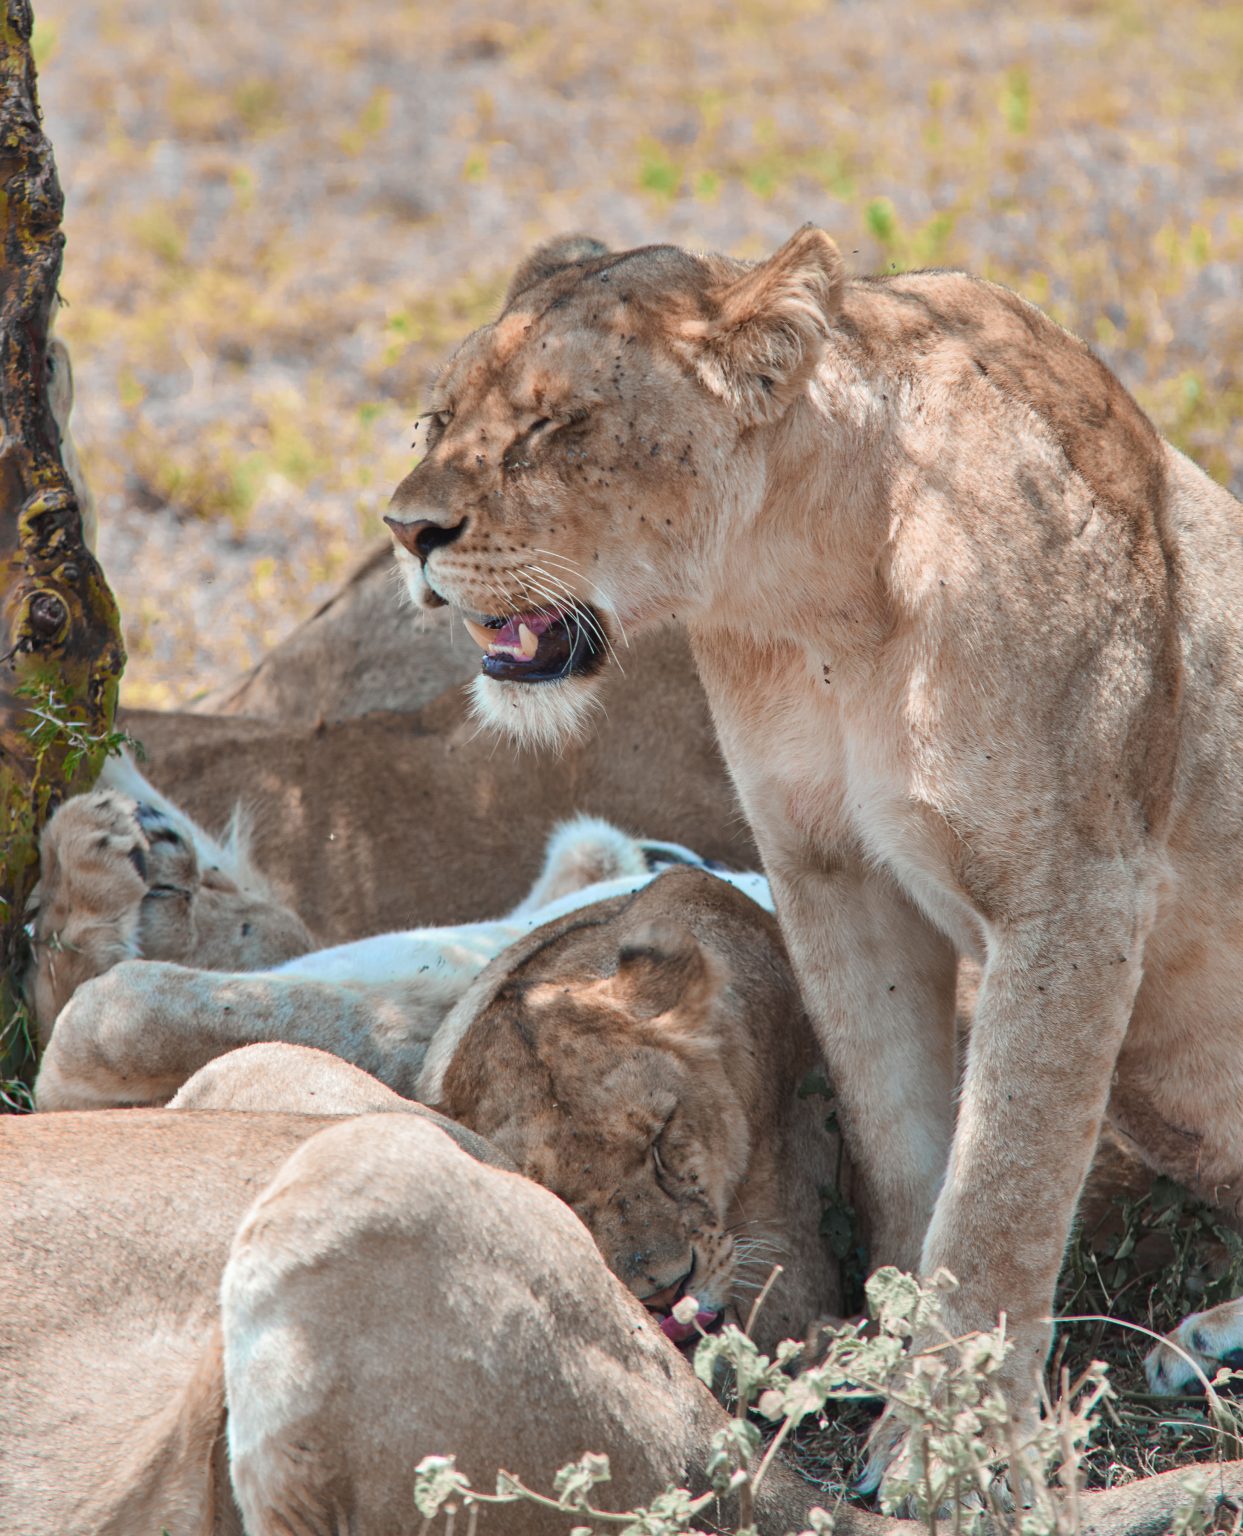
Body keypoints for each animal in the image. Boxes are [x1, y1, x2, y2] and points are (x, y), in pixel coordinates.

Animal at [382, 226, 1243, 1471]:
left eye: (553, 426)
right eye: (436, 420)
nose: (406, 533)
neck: (815, 600)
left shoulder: (1072, 893)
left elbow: (1006, 1182)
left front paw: (950, 1445)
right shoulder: (831, 874)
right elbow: (898, 1144)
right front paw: (893, 1368)